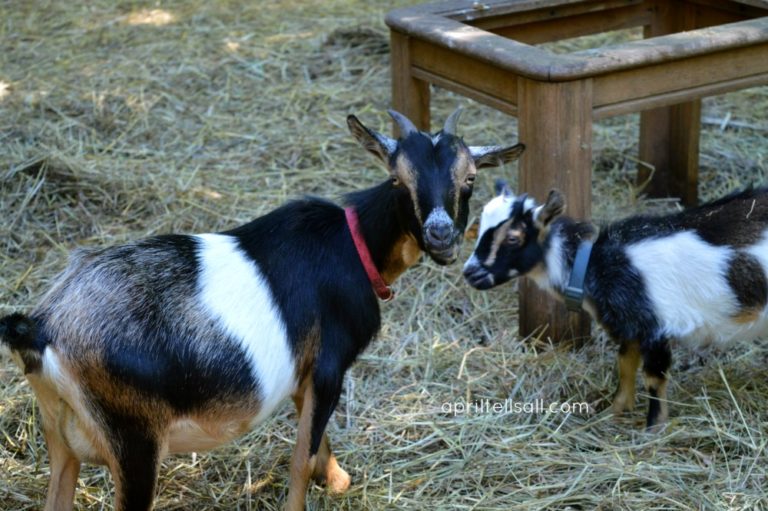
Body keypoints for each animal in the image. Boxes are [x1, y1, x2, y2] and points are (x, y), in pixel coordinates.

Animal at [0, 109, 524, 511]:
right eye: (398, 179)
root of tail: (43, 325)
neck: (353, 245)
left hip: (61, 437)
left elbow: (316, 442)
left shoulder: (303, 372)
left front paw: (338, 482)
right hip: (134, 443)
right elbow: (300, 458)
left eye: (470, 179)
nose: (441, 235)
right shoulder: (330, 365)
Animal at [463, 183, 768, 429]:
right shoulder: (628, 324)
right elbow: (625, 364)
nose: (470, 273)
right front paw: (613, 411)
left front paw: (653, 429)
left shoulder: (654, 325)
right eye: (479, 229)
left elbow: (653, 377)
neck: (597, 263)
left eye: (513, 237)